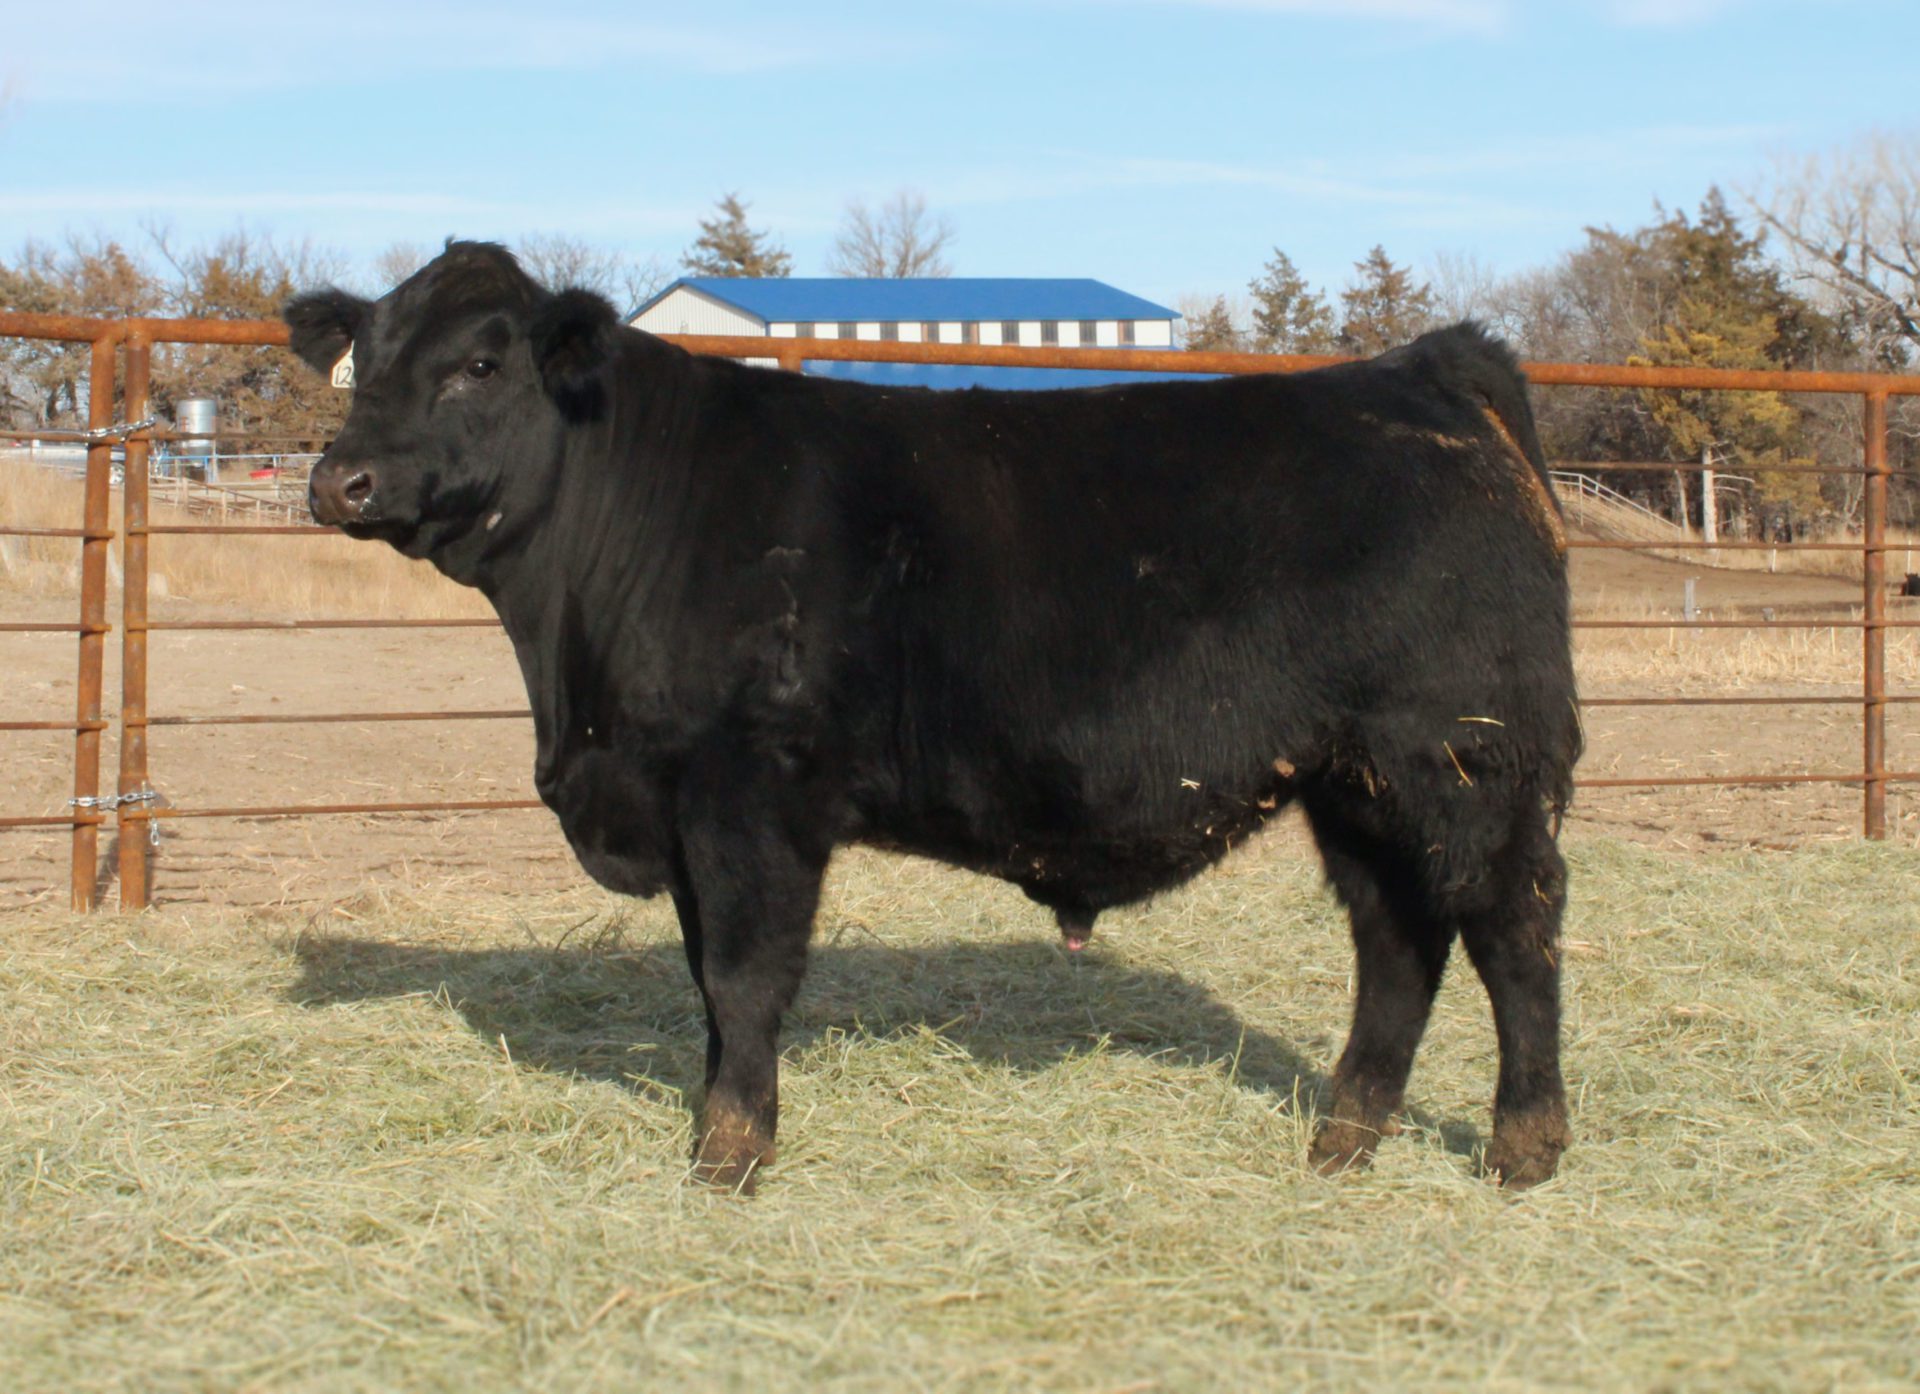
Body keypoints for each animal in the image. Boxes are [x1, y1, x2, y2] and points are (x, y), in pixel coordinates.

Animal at [285, 242, 1581, 1193]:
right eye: (363, 358)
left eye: (480, 364)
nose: (338, 480)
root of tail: (1420, 369)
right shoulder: (678, 802)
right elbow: (706, 977)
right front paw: (722, 1127)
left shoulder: (747, 793)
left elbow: (744, 975)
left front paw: (729, 1154)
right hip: (1354, 779)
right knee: (1397, 939)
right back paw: (1342, 1139)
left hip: (1465, 760)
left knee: (1513, 929)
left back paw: (1523, 1147)